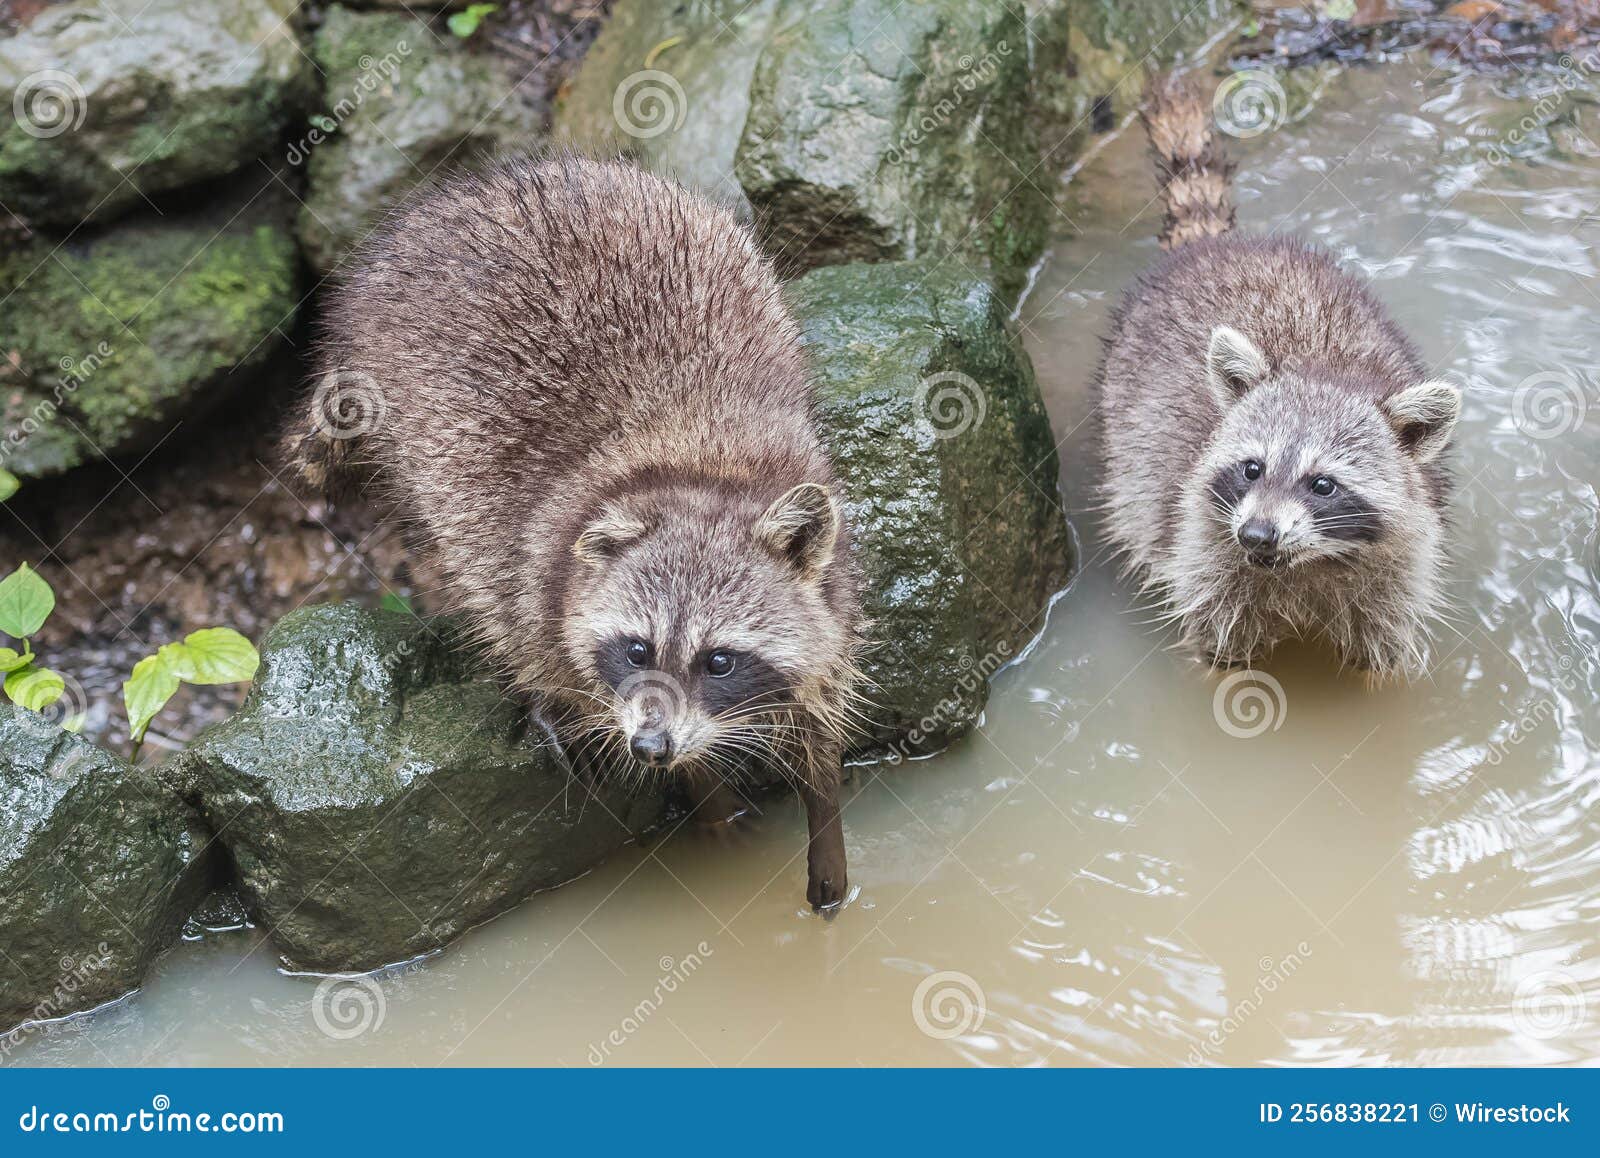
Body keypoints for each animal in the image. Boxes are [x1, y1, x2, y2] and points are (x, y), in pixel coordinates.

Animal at [287, 155, 864, 910]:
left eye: (719, 661)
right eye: (638, 649)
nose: (652, 748)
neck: (693, 475)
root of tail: (465, 192)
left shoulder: (829, 576)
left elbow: (822, 701)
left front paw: (825, 824)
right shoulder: (531, 564)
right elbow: (532, 630)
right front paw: (707, 796)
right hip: (404, 406)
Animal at [1096, 76, 1460, 677]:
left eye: (1322, 484)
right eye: (1251, 468)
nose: (1257, 533)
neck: (1305, 564)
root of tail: (1214, 244)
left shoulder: (1403, 562)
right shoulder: (1202, 548)